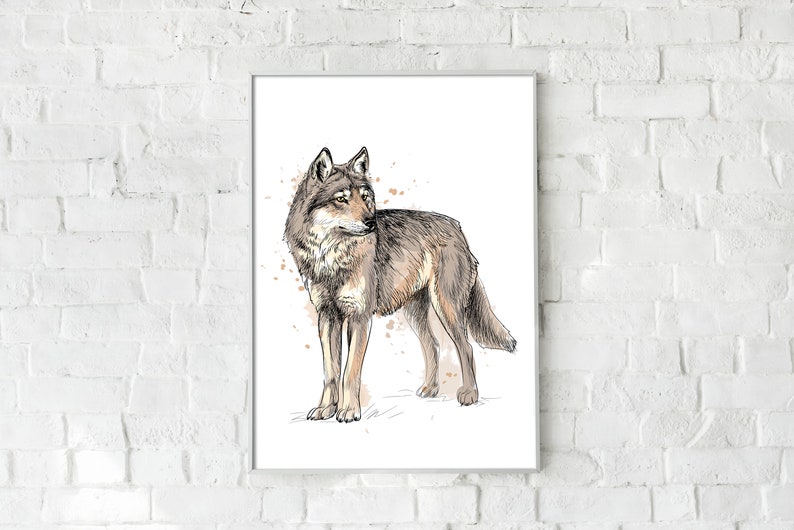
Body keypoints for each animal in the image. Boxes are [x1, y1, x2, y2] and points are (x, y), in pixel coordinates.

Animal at [284, 147, 517, 423]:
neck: (333, 257)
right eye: (341, 199)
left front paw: (348, 411)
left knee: (466, 347)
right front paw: (326, 409)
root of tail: (457, 229)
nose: (371, 222)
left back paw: (469, 394)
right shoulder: (327, 317)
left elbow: (350, 372)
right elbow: (331, 372)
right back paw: (430, 389)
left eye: (365, 197)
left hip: (446, 307)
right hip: (415, 312)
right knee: (433, 345)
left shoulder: (359, 317)